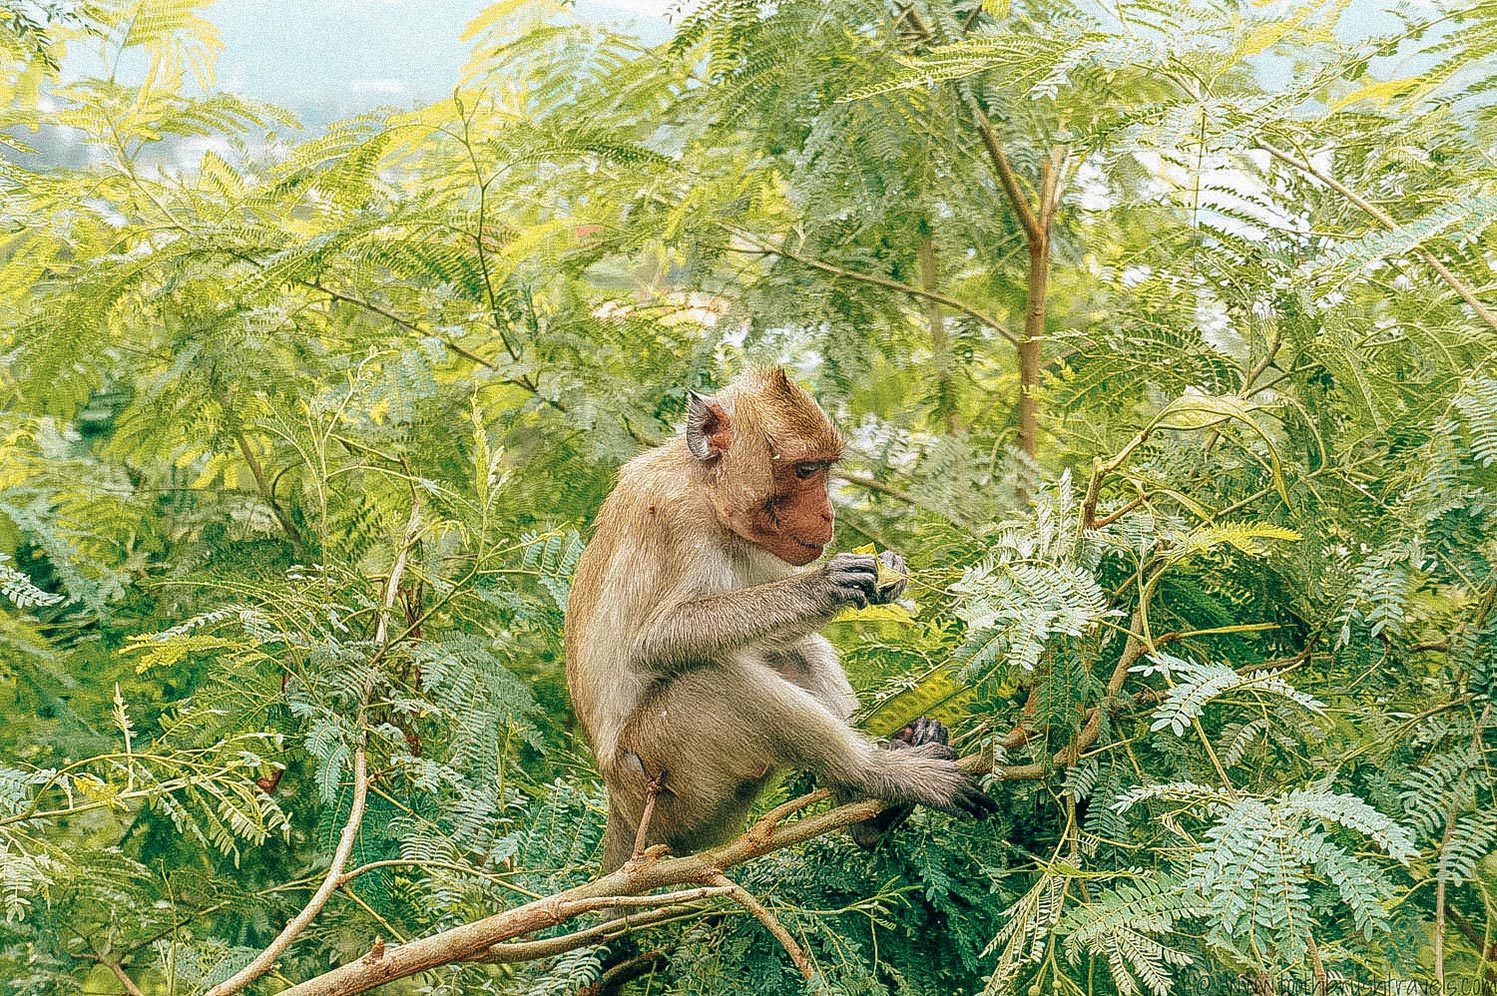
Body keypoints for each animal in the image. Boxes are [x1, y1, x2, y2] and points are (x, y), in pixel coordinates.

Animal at [564, 368, 994, 875]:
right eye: (805, 470)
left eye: (825, 468)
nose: (827, 514)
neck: (707, 491)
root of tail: (620, 807)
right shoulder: (672, 515)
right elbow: (654, 640)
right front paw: (826, 584)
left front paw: (889, 572)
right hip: (660, 774)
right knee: (714, 677)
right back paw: (882, 775)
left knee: (793, 649)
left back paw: (874, 809)